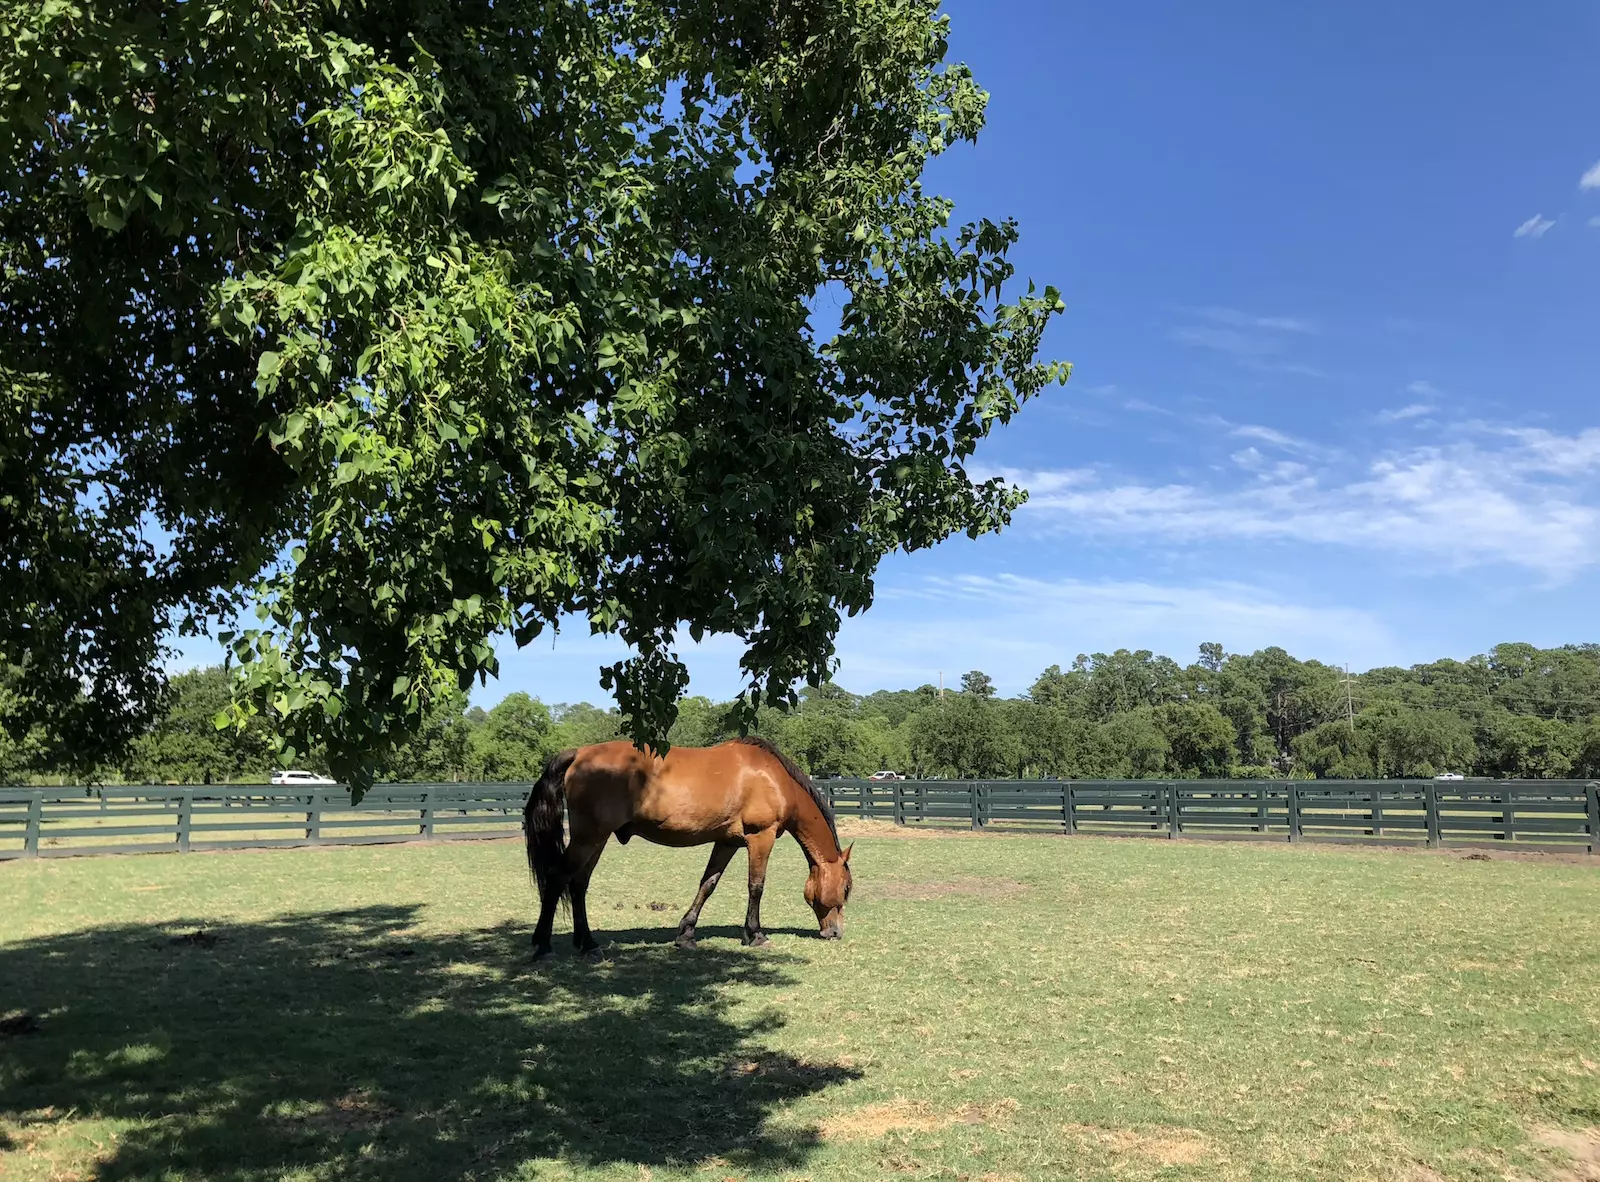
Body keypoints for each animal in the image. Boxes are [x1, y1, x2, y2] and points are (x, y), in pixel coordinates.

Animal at [521, 735, 851, 959]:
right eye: (846, 889)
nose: (835, 932)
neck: (773, 777)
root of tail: (579, 754)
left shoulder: (726, 842)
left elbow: (708, 884)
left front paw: (686, 934)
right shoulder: (761, 837)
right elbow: (756, 886)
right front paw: (755, 934)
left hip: (596, 840)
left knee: (578, 884)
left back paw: (587, 943)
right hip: (588, 837)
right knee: (557, 878)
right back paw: (543, 944)